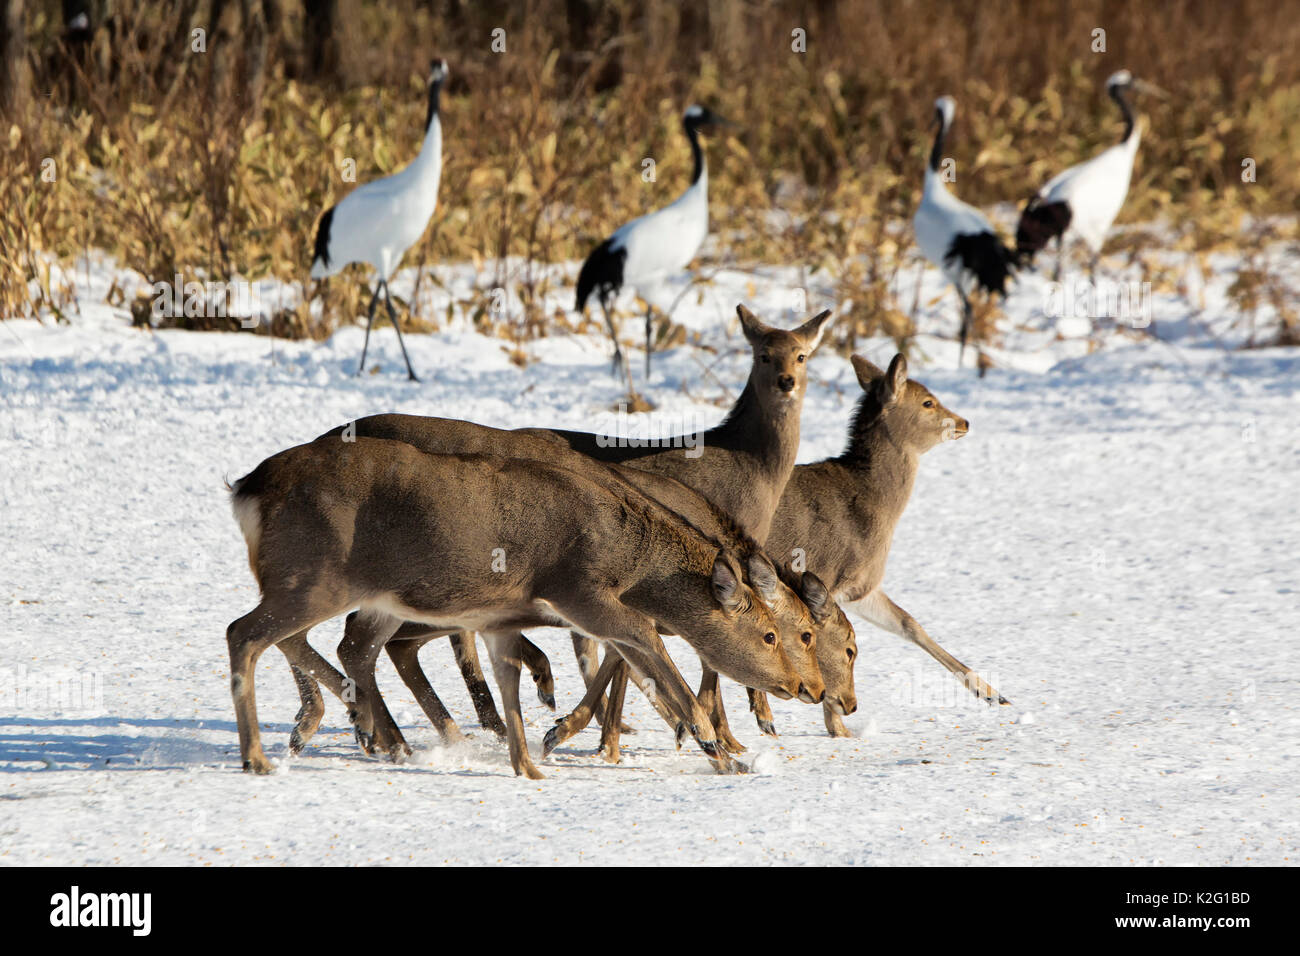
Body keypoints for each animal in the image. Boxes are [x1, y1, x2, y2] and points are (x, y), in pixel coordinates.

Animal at [274, 414, 852, 767]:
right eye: (800, 634)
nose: (825, 693)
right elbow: (629, 663)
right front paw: (595, 735)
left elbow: (626, 662)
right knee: (350, 635)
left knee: (369, 640)